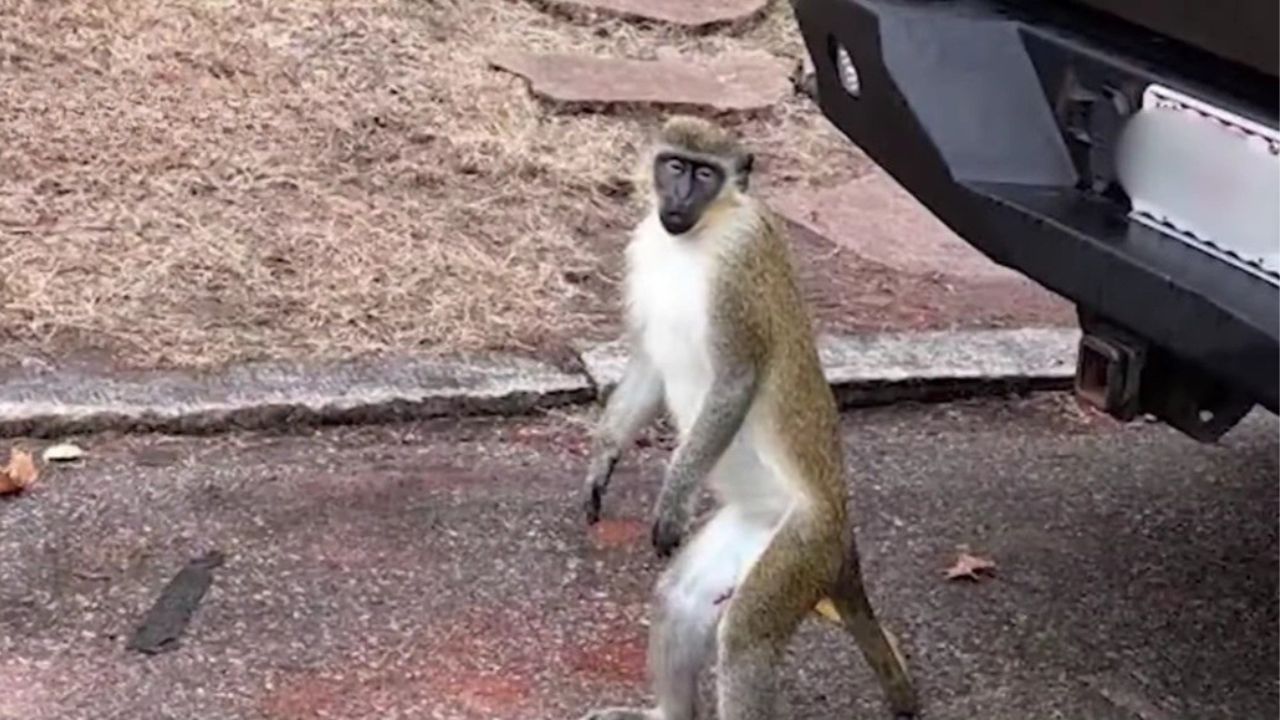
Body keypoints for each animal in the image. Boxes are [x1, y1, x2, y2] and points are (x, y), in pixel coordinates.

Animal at [579, 116, 919, 720]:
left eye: (704, 173)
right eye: (675, 164)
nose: (679, 198)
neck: (696, 237)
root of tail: (842, 534)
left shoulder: (741, 265)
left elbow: (735, 380)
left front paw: (675, 494)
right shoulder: (643, 247)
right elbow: (648, 365)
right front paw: (604, 457)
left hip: (803, 544)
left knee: (743, 639)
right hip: (753, 532)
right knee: (680, 600)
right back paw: (669, 714)